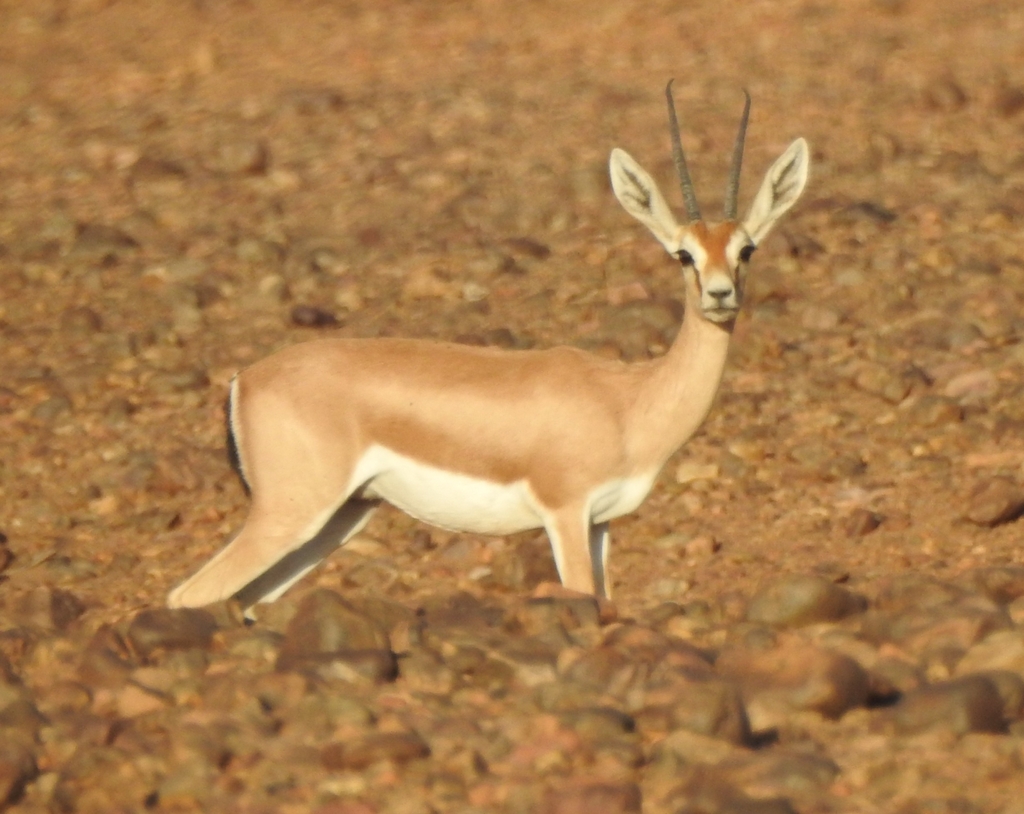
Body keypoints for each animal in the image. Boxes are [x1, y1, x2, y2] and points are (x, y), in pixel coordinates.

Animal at [168, 81, 809, 610]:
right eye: (682, 254)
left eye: (747, 248)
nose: (721, 295)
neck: (627, 400)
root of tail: (243, 380)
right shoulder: (564, 513)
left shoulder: (599, 523)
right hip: (292, 514)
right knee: (189, 596)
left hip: (338, 518)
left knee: (244, 600)